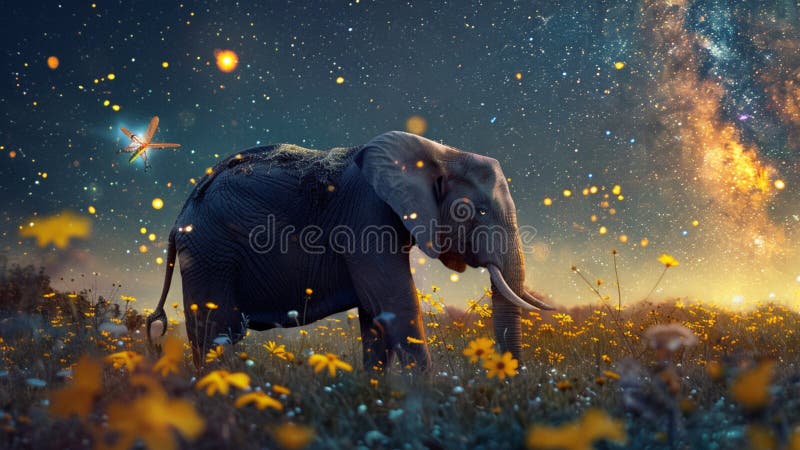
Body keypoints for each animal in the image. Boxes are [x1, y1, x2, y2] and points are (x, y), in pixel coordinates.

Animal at [146, 131, 554, 369]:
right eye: (470, 211)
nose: (507, 380)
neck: (439, 152)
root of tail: (179, 218)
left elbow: (374, 315)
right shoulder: (365, 215)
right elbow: (394, 301)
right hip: (210, 253)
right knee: (217, 333)